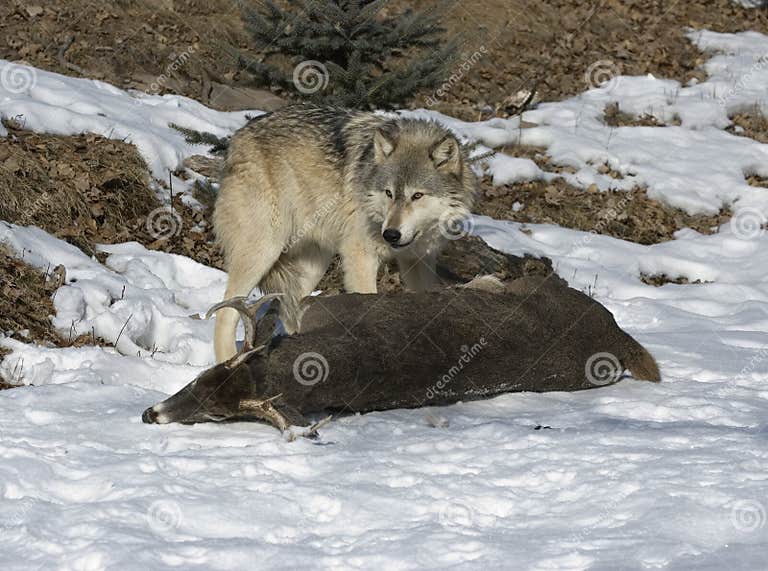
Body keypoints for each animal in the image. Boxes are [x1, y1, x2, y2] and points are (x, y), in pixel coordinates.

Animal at [213, 103, 478, 362]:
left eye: (417, 195)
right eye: (389, 193)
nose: (390, 234)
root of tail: (239, 135)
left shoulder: (419, 261)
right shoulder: (360, 257)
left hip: (312, 267)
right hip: (263, 252)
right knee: (225, 313)